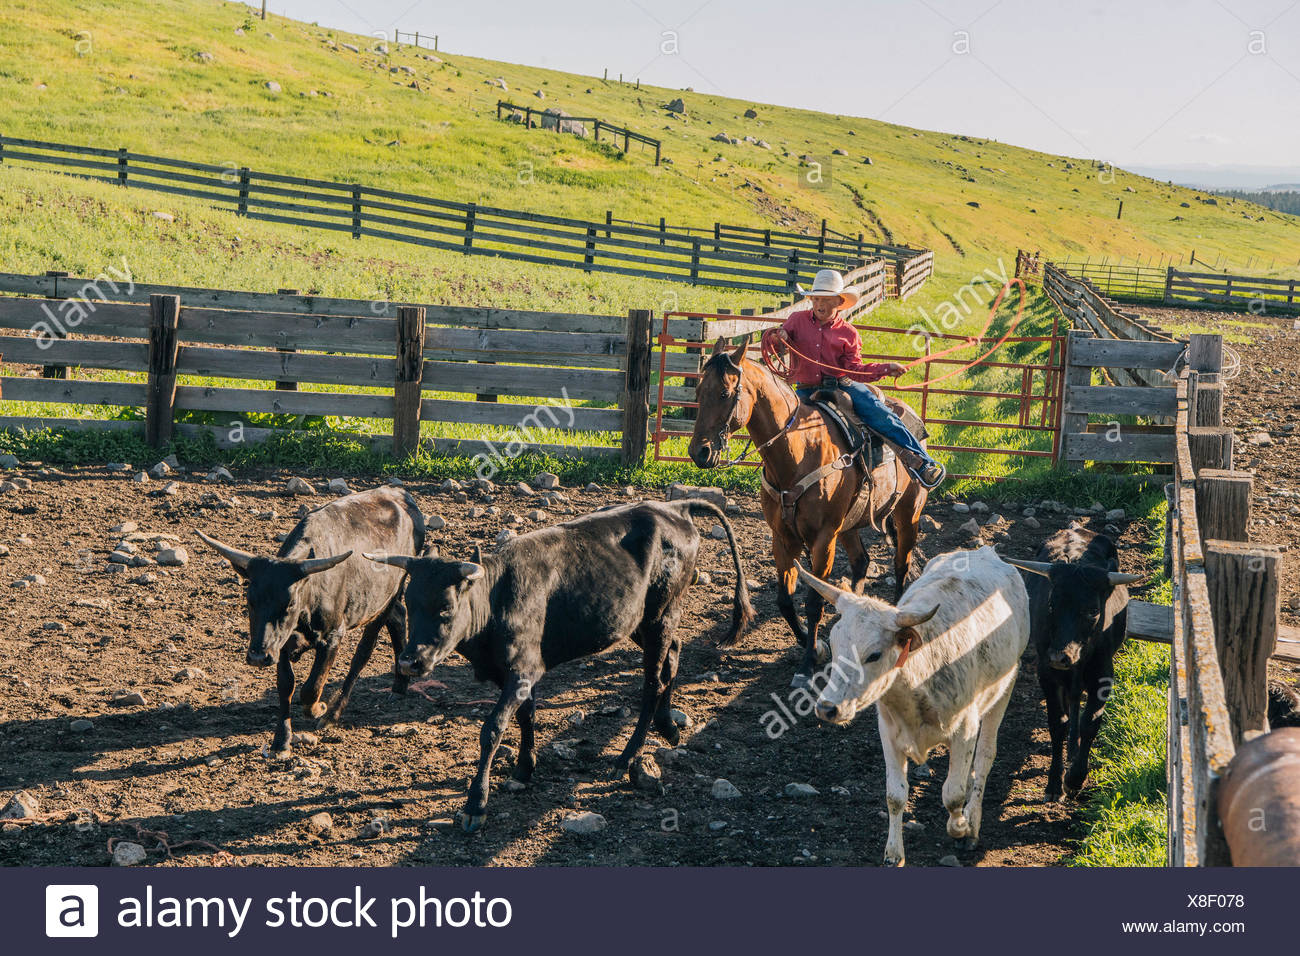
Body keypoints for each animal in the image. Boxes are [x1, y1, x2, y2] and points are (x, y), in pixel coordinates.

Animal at [196, 486, 425, 756]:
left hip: (386, 599)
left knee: (363, 653)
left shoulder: (332, 637)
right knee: (398, 617)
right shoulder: (280, 644)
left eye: (290, 603)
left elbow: (311, 687)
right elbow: (286, 685)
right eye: (250, 600)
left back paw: (334, 713)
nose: (258, 656)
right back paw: (400, 685)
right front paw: (281, 740)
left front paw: (319, 709)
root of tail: (399, 494)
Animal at [364, 499, 754, 832]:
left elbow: (493, 729)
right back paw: (667, 725)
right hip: (640, 622)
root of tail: (675, 507)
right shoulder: (521, 672)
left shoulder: (521, 671)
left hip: (661, 615)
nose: (409, 661)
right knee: (673, 652)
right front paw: (525, 768)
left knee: (652, 683)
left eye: (446, 607)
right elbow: (526, 716)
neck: (498, 597)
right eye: (409, 601)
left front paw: (476, 804)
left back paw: (627, 756)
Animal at [800, 546, 1029, 866]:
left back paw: (973, 824)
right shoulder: (888, 732)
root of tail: (984, 551)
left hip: (1005, 686)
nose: (826, 708)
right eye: (833, 644)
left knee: (984, 758)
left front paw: (960, 826)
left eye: (874, 655)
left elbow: (953, 793)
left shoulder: (966, 729)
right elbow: (895, 795)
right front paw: (893, 854)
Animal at [1004, 527, 1142, 801]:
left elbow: (1091, 723)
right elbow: (1058, 723)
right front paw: (1055, 783)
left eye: (1092, 611)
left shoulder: (1103, 676)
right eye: (1051, 605)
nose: (1060, 656)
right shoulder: (1047, 674)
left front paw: (1075, 778)